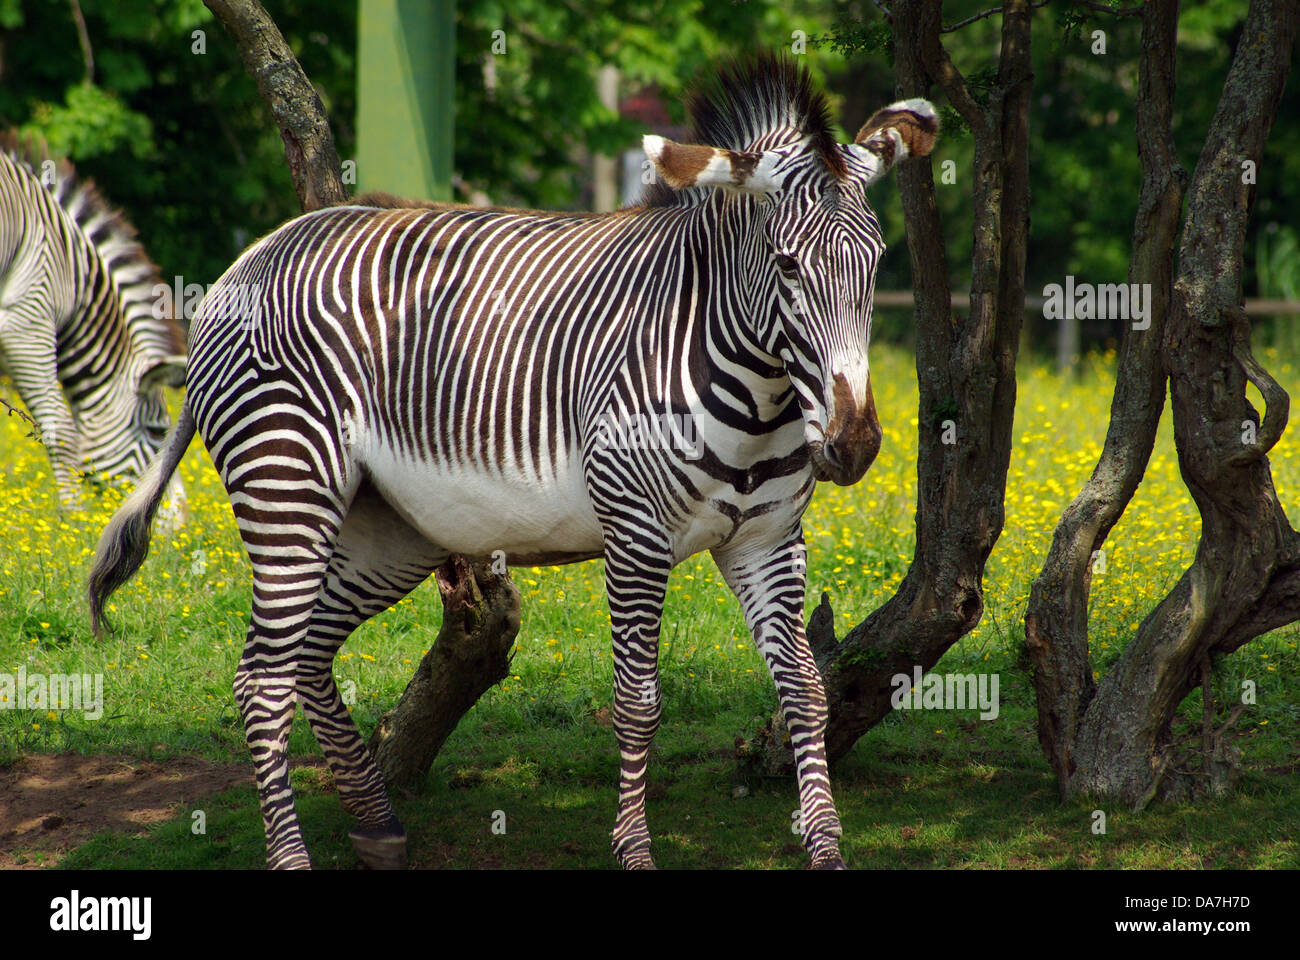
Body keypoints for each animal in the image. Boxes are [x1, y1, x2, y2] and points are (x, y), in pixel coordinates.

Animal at [0, 136, 187, 509]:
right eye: (157, 431)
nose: (180, 517)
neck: (75, 281)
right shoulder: (27, 322)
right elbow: (60, 427)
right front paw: (72, 515)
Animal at [89, 55, 938, 870]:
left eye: (877, 261)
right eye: (788, 266)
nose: (855, 444)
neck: (758, 391)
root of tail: (250, 257)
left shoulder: (768, 540)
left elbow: (805, 689)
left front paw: (826, 846)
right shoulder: (635, 536)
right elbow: (638, 703)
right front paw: (634, 850)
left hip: (389, 529)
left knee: (309, 652)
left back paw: (377, 824)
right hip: (288, 486)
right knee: (262, 679)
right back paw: (293, 856)